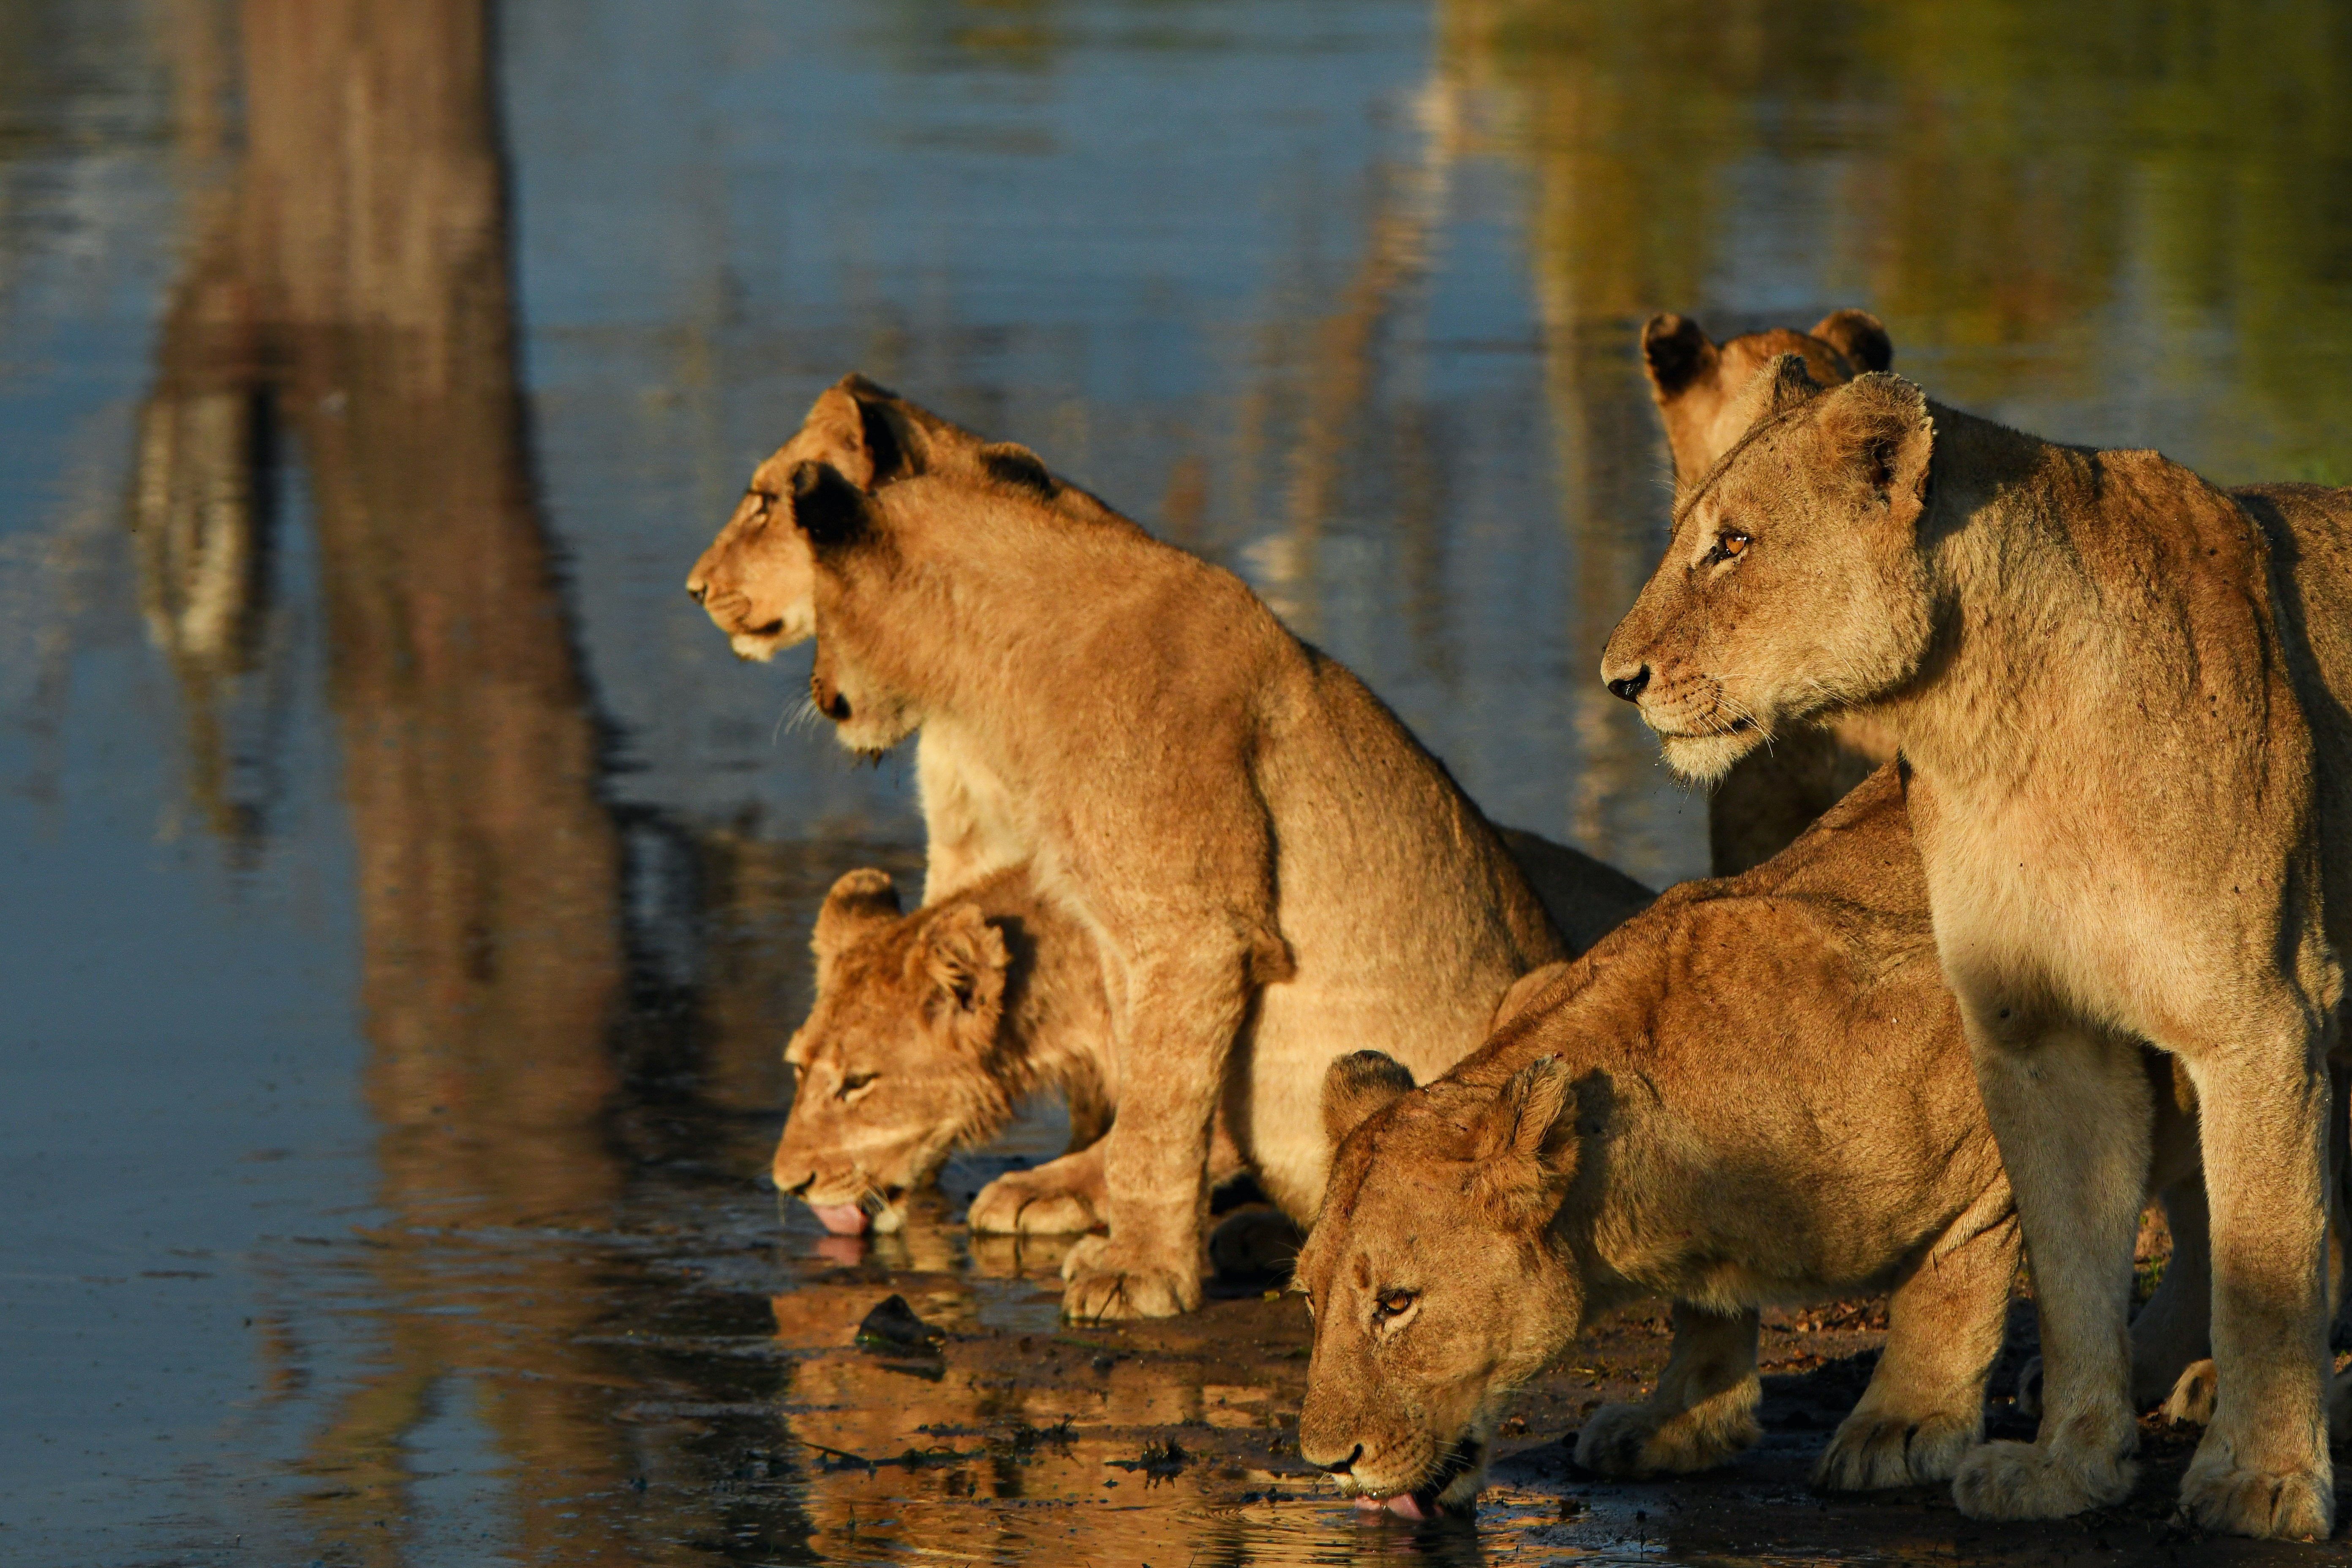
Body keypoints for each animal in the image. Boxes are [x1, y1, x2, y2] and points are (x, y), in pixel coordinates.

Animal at [1295, 767, 2204, 1519]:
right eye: (1310, 1296)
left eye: (1397, 1303)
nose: (1328, 1460)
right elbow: (1705, 1311)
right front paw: (1682, 1420)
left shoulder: (1999, 1076)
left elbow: (1950, 1280)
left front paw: (1901, 1425)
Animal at [1599, 352, 2352, 1537]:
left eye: (1734, 544)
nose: (1615, 678)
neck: (1997, 727)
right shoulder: (2038, 1033)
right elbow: (2072, 1261)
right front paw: (2069, 1465)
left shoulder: (2261, 1013)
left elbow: (2267, 1261)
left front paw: (2262, 1481)